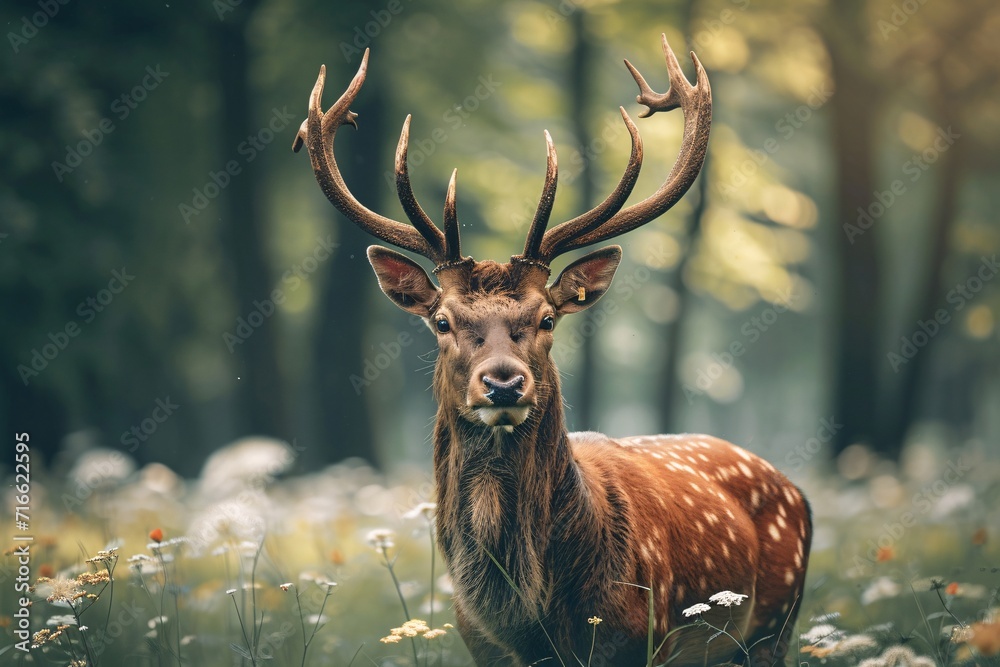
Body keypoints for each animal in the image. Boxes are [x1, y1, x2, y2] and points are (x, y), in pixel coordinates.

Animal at [293, 35, 812, 667]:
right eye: (442, 320)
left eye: (546, 318)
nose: (503, 382)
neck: (530, 620)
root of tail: (796, 490)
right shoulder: (480, 646)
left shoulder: (638, 640)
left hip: (774, 626)